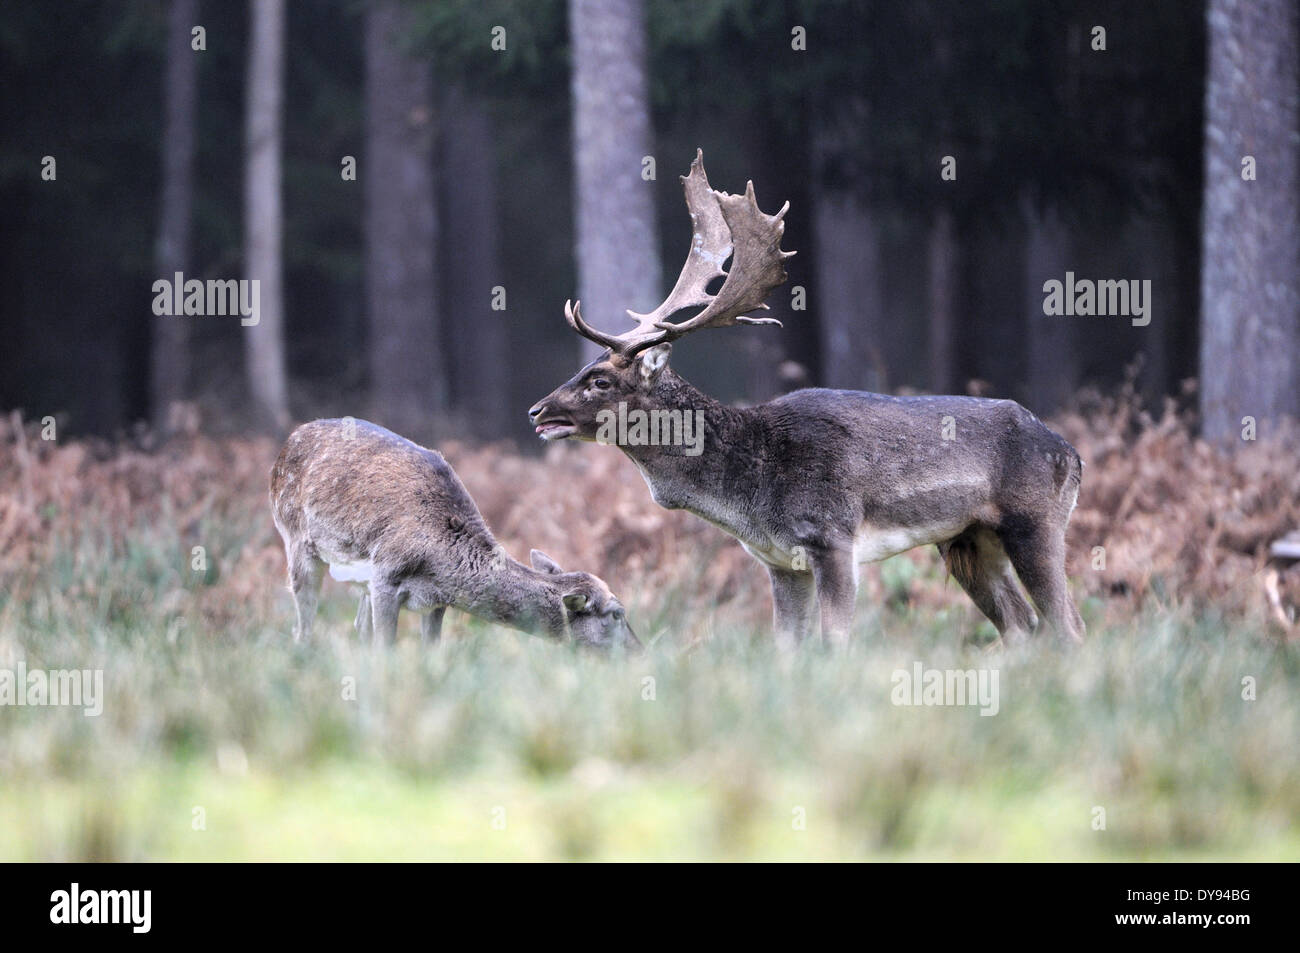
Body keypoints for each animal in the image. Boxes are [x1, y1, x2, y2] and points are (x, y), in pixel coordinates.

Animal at [270, 418, 640, 650]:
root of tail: (285, 445)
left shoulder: (435, 601)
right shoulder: (385, 576)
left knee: (357, 628)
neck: (440, 562)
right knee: (302, 625)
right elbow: (384, 648)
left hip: (360, 580)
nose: (639, 651)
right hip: (294, 536)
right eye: (617, 613)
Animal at [528, 150, 1085, 646]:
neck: (750, 496)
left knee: (1069, 626)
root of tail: (1072, 455)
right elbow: (786, 649)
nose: (537, 410)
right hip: (966, 539)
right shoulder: (779, 562)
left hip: (1037, 521)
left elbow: (834, 642)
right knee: (1022, 625)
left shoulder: (833, 537)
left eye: (600, 379)